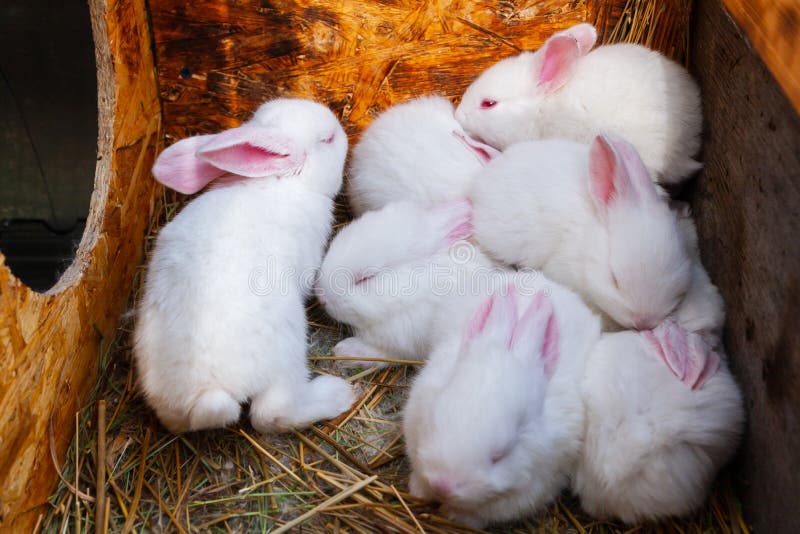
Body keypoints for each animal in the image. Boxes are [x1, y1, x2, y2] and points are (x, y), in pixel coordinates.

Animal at [134, 98, 355, 434]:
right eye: (327, 140)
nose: (340, 129)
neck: (276, 181)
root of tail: (209, 393)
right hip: (287, 352)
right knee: (272, 414)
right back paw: (338, 393)